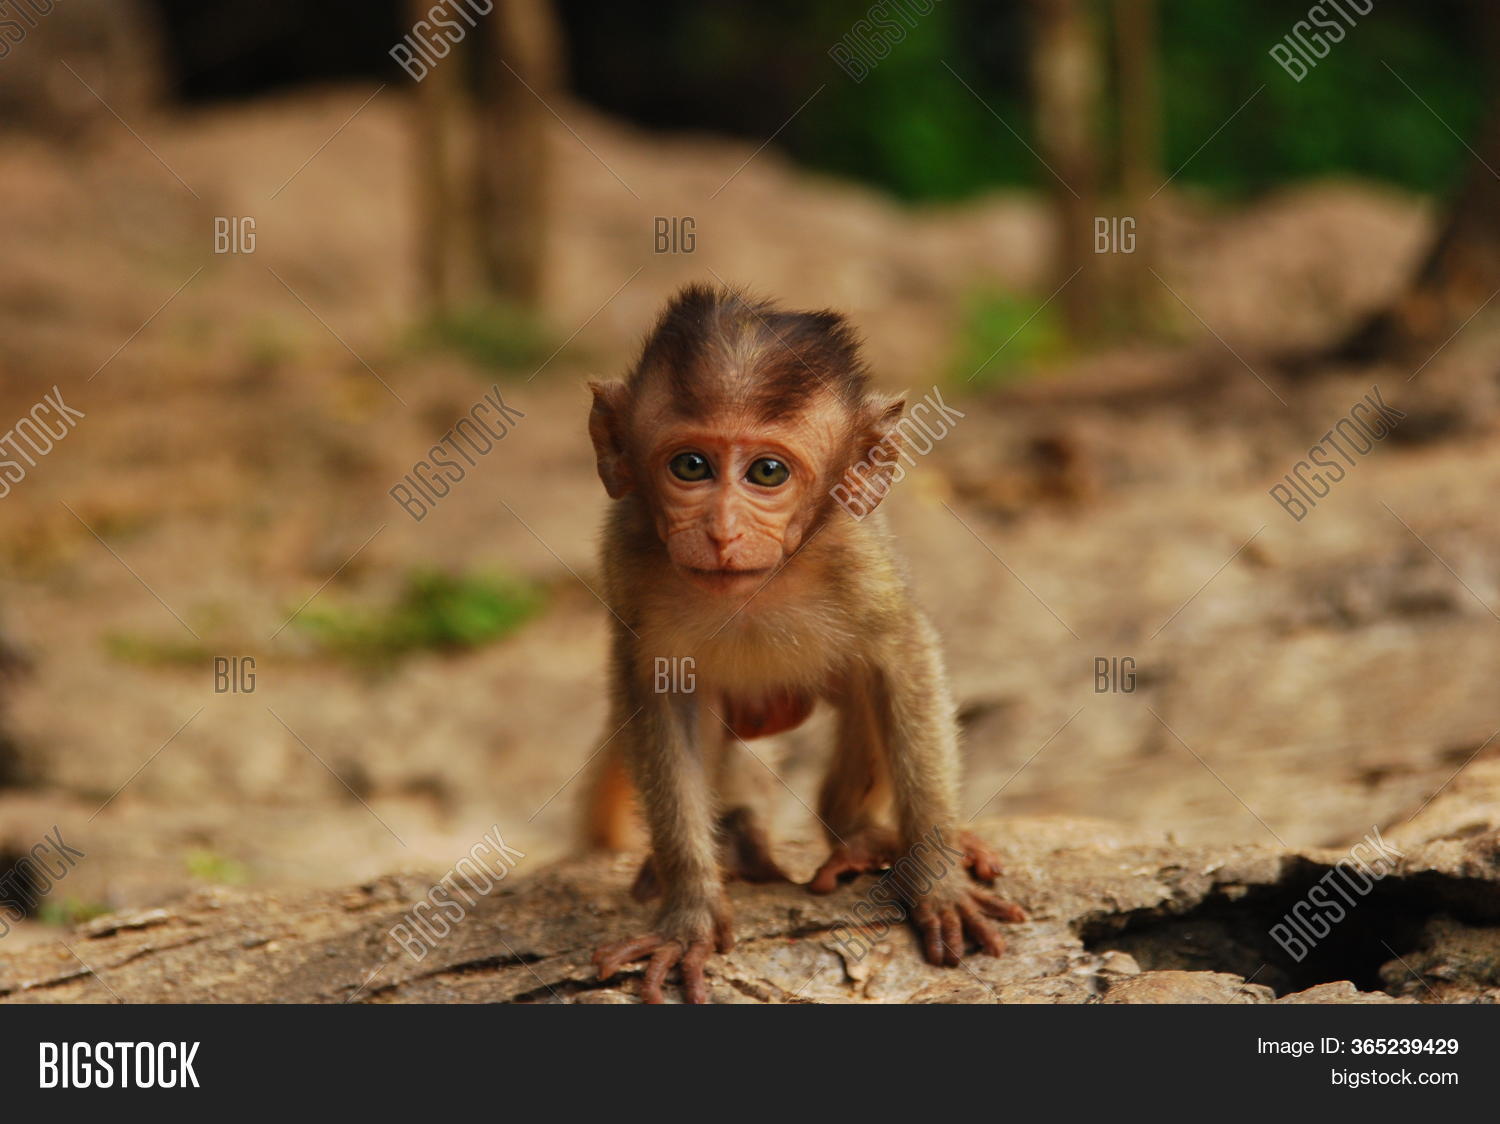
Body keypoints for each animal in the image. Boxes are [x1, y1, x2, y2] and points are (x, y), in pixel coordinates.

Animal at [582, 283, 1025, 1003]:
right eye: (691, 466)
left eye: (767, 472)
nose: (723, 531)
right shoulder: (626, 555)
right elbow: (661, 696)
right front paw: (689, 913)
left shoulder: (855, 555)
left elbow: (903, 658)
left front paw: (937, 880)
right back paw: (736, 843)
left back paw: (858, 837)